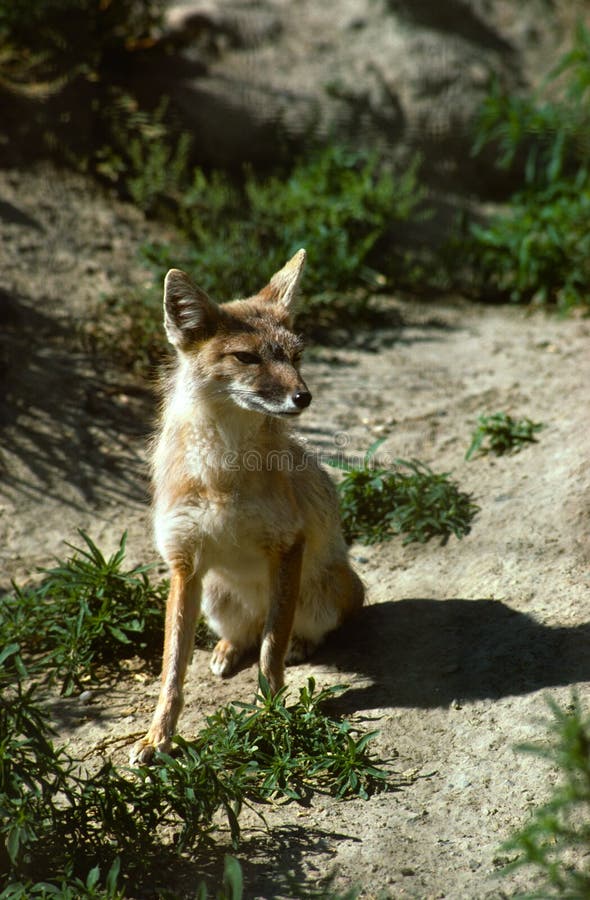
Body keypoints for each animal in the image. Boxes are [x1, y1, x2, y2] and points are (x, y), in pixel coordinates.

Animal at [130, 249, 364, 765]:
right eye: (247, 357)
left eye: (296, 357)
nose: (303, 396)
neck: (221, 475)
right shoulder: (184, 564)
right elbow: (172, 670)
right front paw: (158, 737)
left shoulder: (287, 544)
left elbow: (271, 652)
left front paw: (269, 715)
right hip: (214, 596)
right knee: (245, 635)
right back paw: (226, 649)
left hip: (318, 594)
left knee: (284, 631)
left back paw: (299, 643)